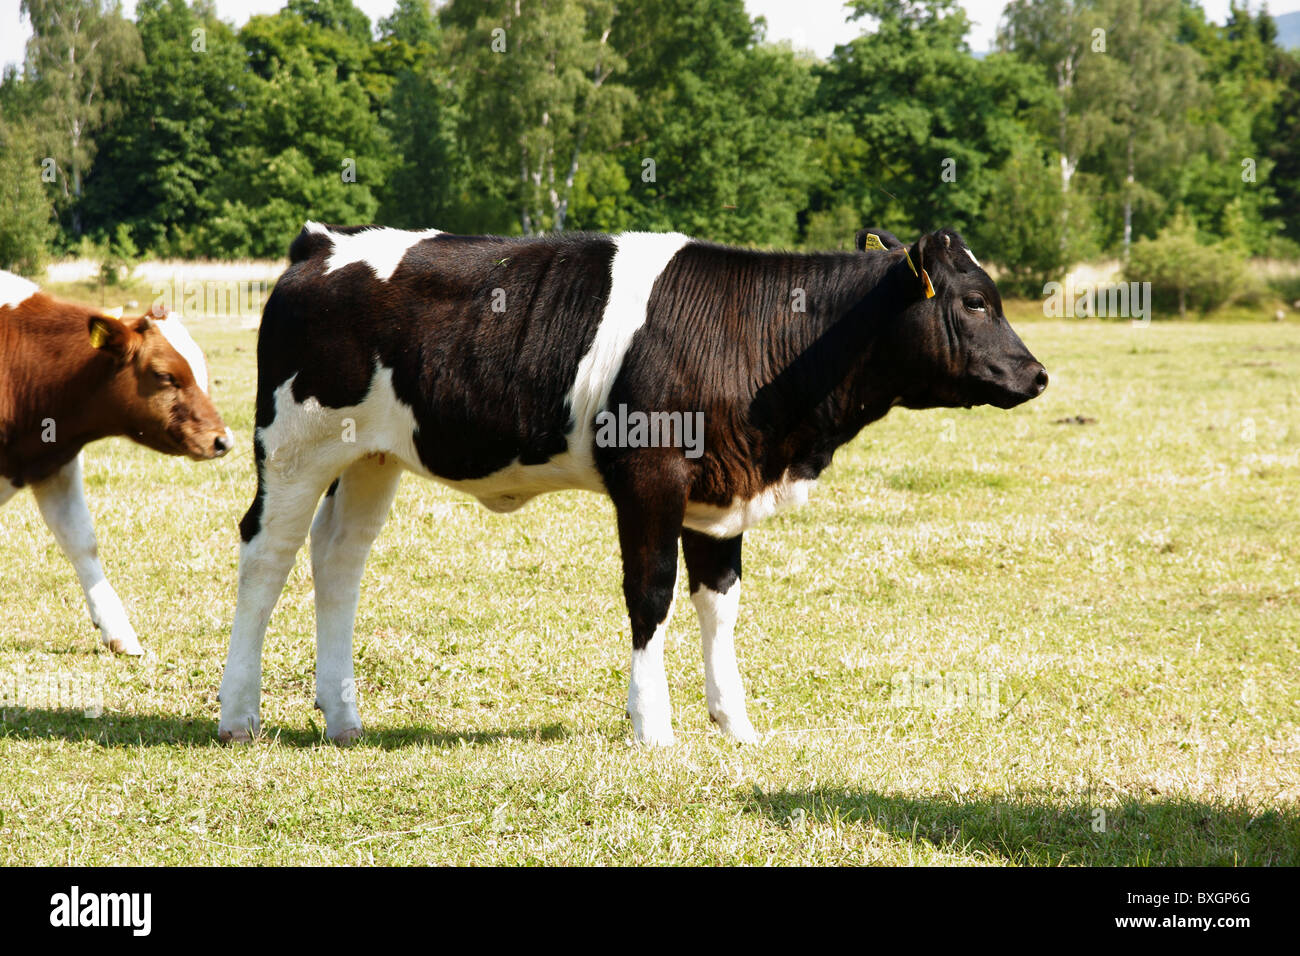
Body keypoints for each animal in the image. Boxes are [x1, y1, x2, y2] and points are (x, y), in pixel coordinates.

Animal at [217, 221, 1046, 746]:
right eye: (975, 302)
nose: (1037, 374)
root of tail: (323, 243)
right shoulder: (650, 475)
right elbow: (650, 593)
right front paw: (653, 725)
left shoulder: (722, 491)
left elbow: (720, 604)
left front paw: (736, 725)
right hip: (291, 444)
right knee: (265, 557)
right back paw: (239, 715)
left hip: (370, 458)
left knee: (338, 560)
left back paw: (343, 717)